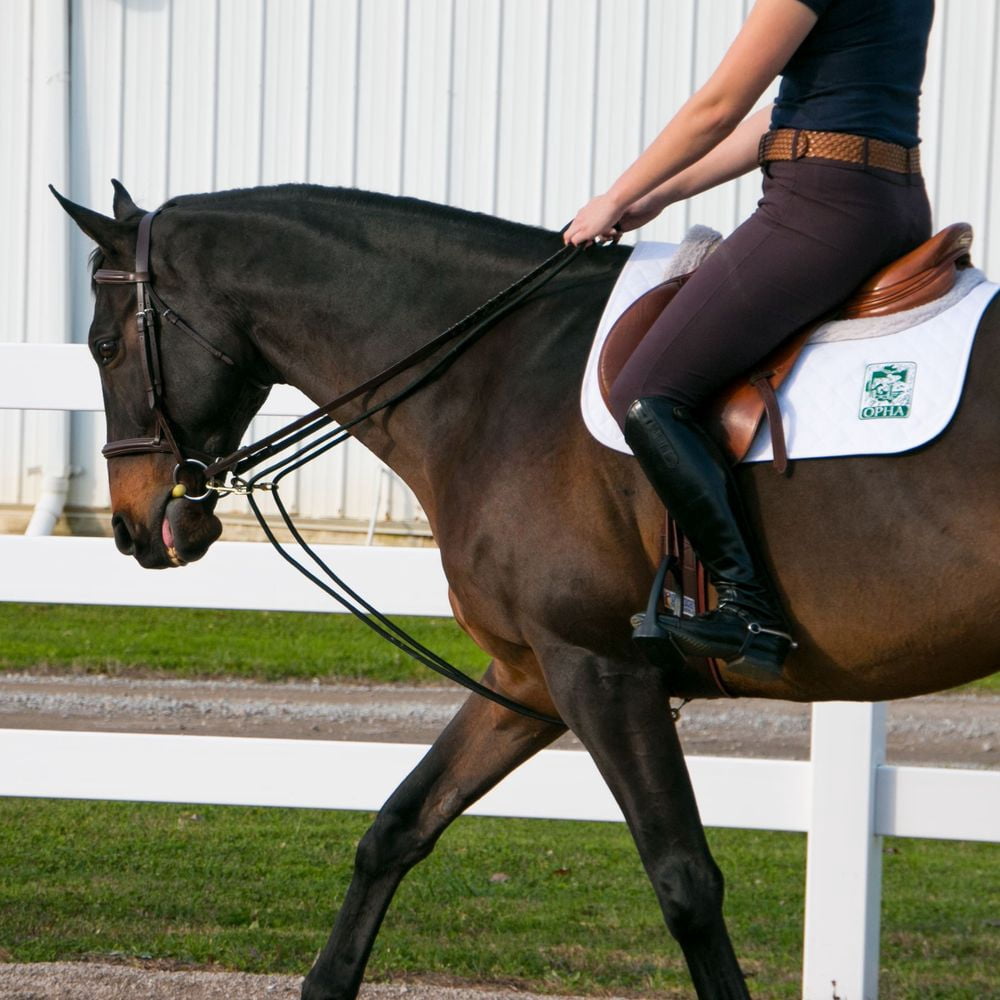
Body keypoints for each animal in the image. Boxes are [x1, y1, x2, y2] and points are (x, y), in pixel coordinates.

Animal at [54, 180, 1000, 1000]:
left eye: (104, 347)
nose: (136, 526)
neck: (493, 376)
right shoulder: (530, 677)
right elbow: (396, 829)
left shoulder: (601, 672)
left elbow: (686, 884)